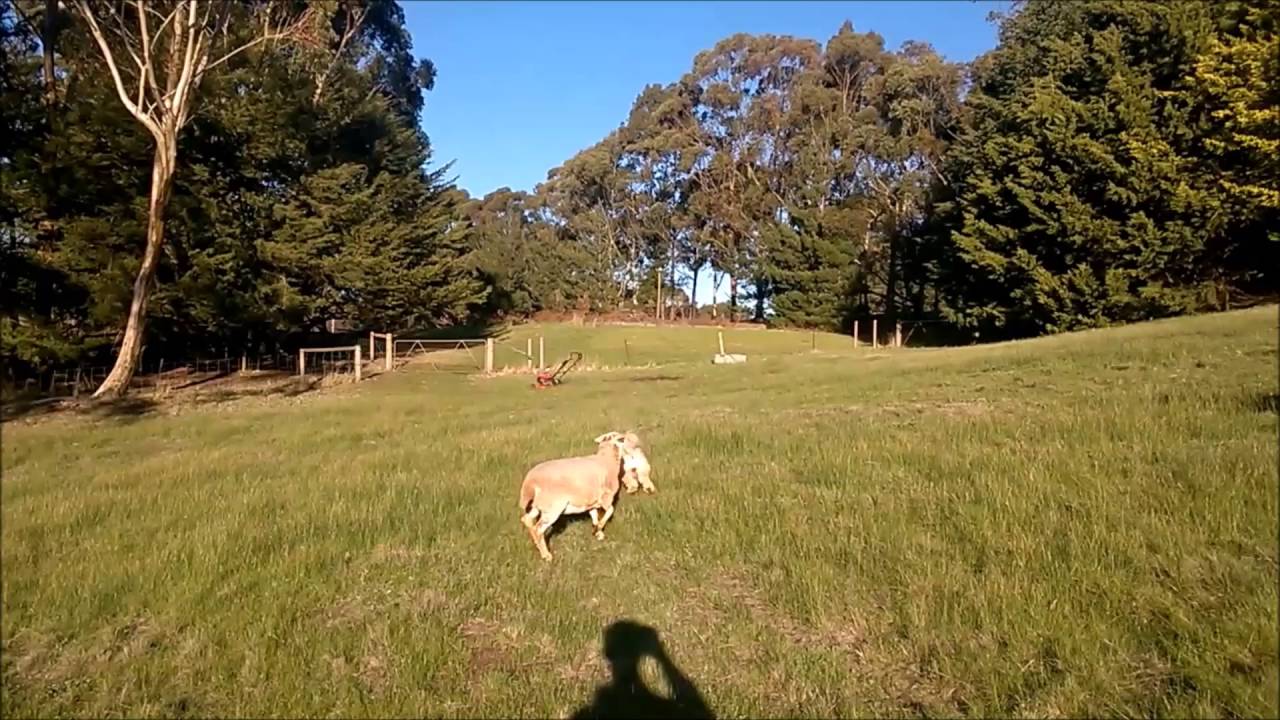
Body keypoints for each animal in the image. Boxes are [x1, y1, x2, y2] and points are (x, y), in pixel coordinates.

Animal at [518, 431, 629, 562]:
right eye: (621, 439)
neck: (606, 459)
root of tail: (530, 481)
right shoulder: (606, 497)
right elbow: (610, 511)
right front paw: (600, 527)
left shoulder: (590, 500)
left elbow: (594, 516)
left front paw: (597, 532)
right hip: (553, 507)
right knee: (538, 529)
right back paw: (547, 555)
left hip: (539, 505)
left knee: (527, 519)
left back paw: (538, 546)